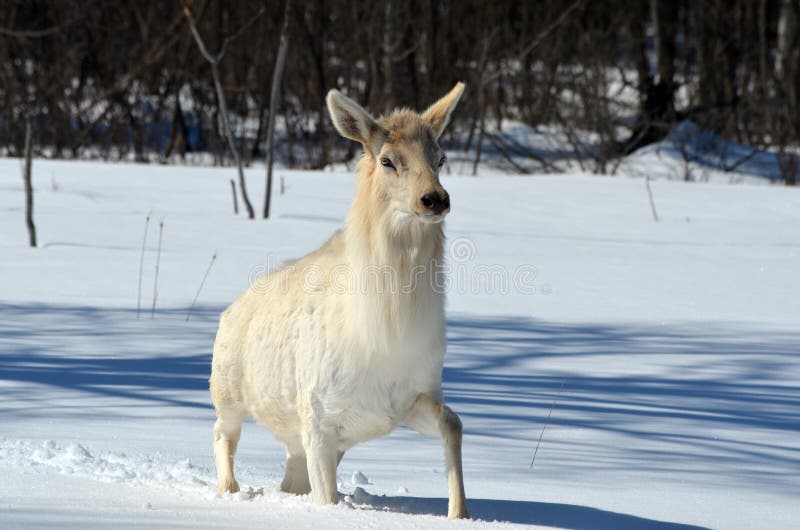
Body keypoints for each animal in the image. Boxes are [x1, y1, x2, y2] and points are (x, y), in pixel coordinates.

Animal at [209, 82, 469, 519]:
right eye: (387, 160)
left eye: (441, 157)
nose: (435, 199)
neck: (386, 333)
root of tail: (229, 311)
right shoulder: (317, 415)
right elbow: (327, 499)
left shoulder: (409, 399)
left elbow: (454, 424)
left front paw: (459, 512)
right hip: (225, 389)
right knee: (223, 433)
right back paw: (230, 489)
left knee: (290, 475)